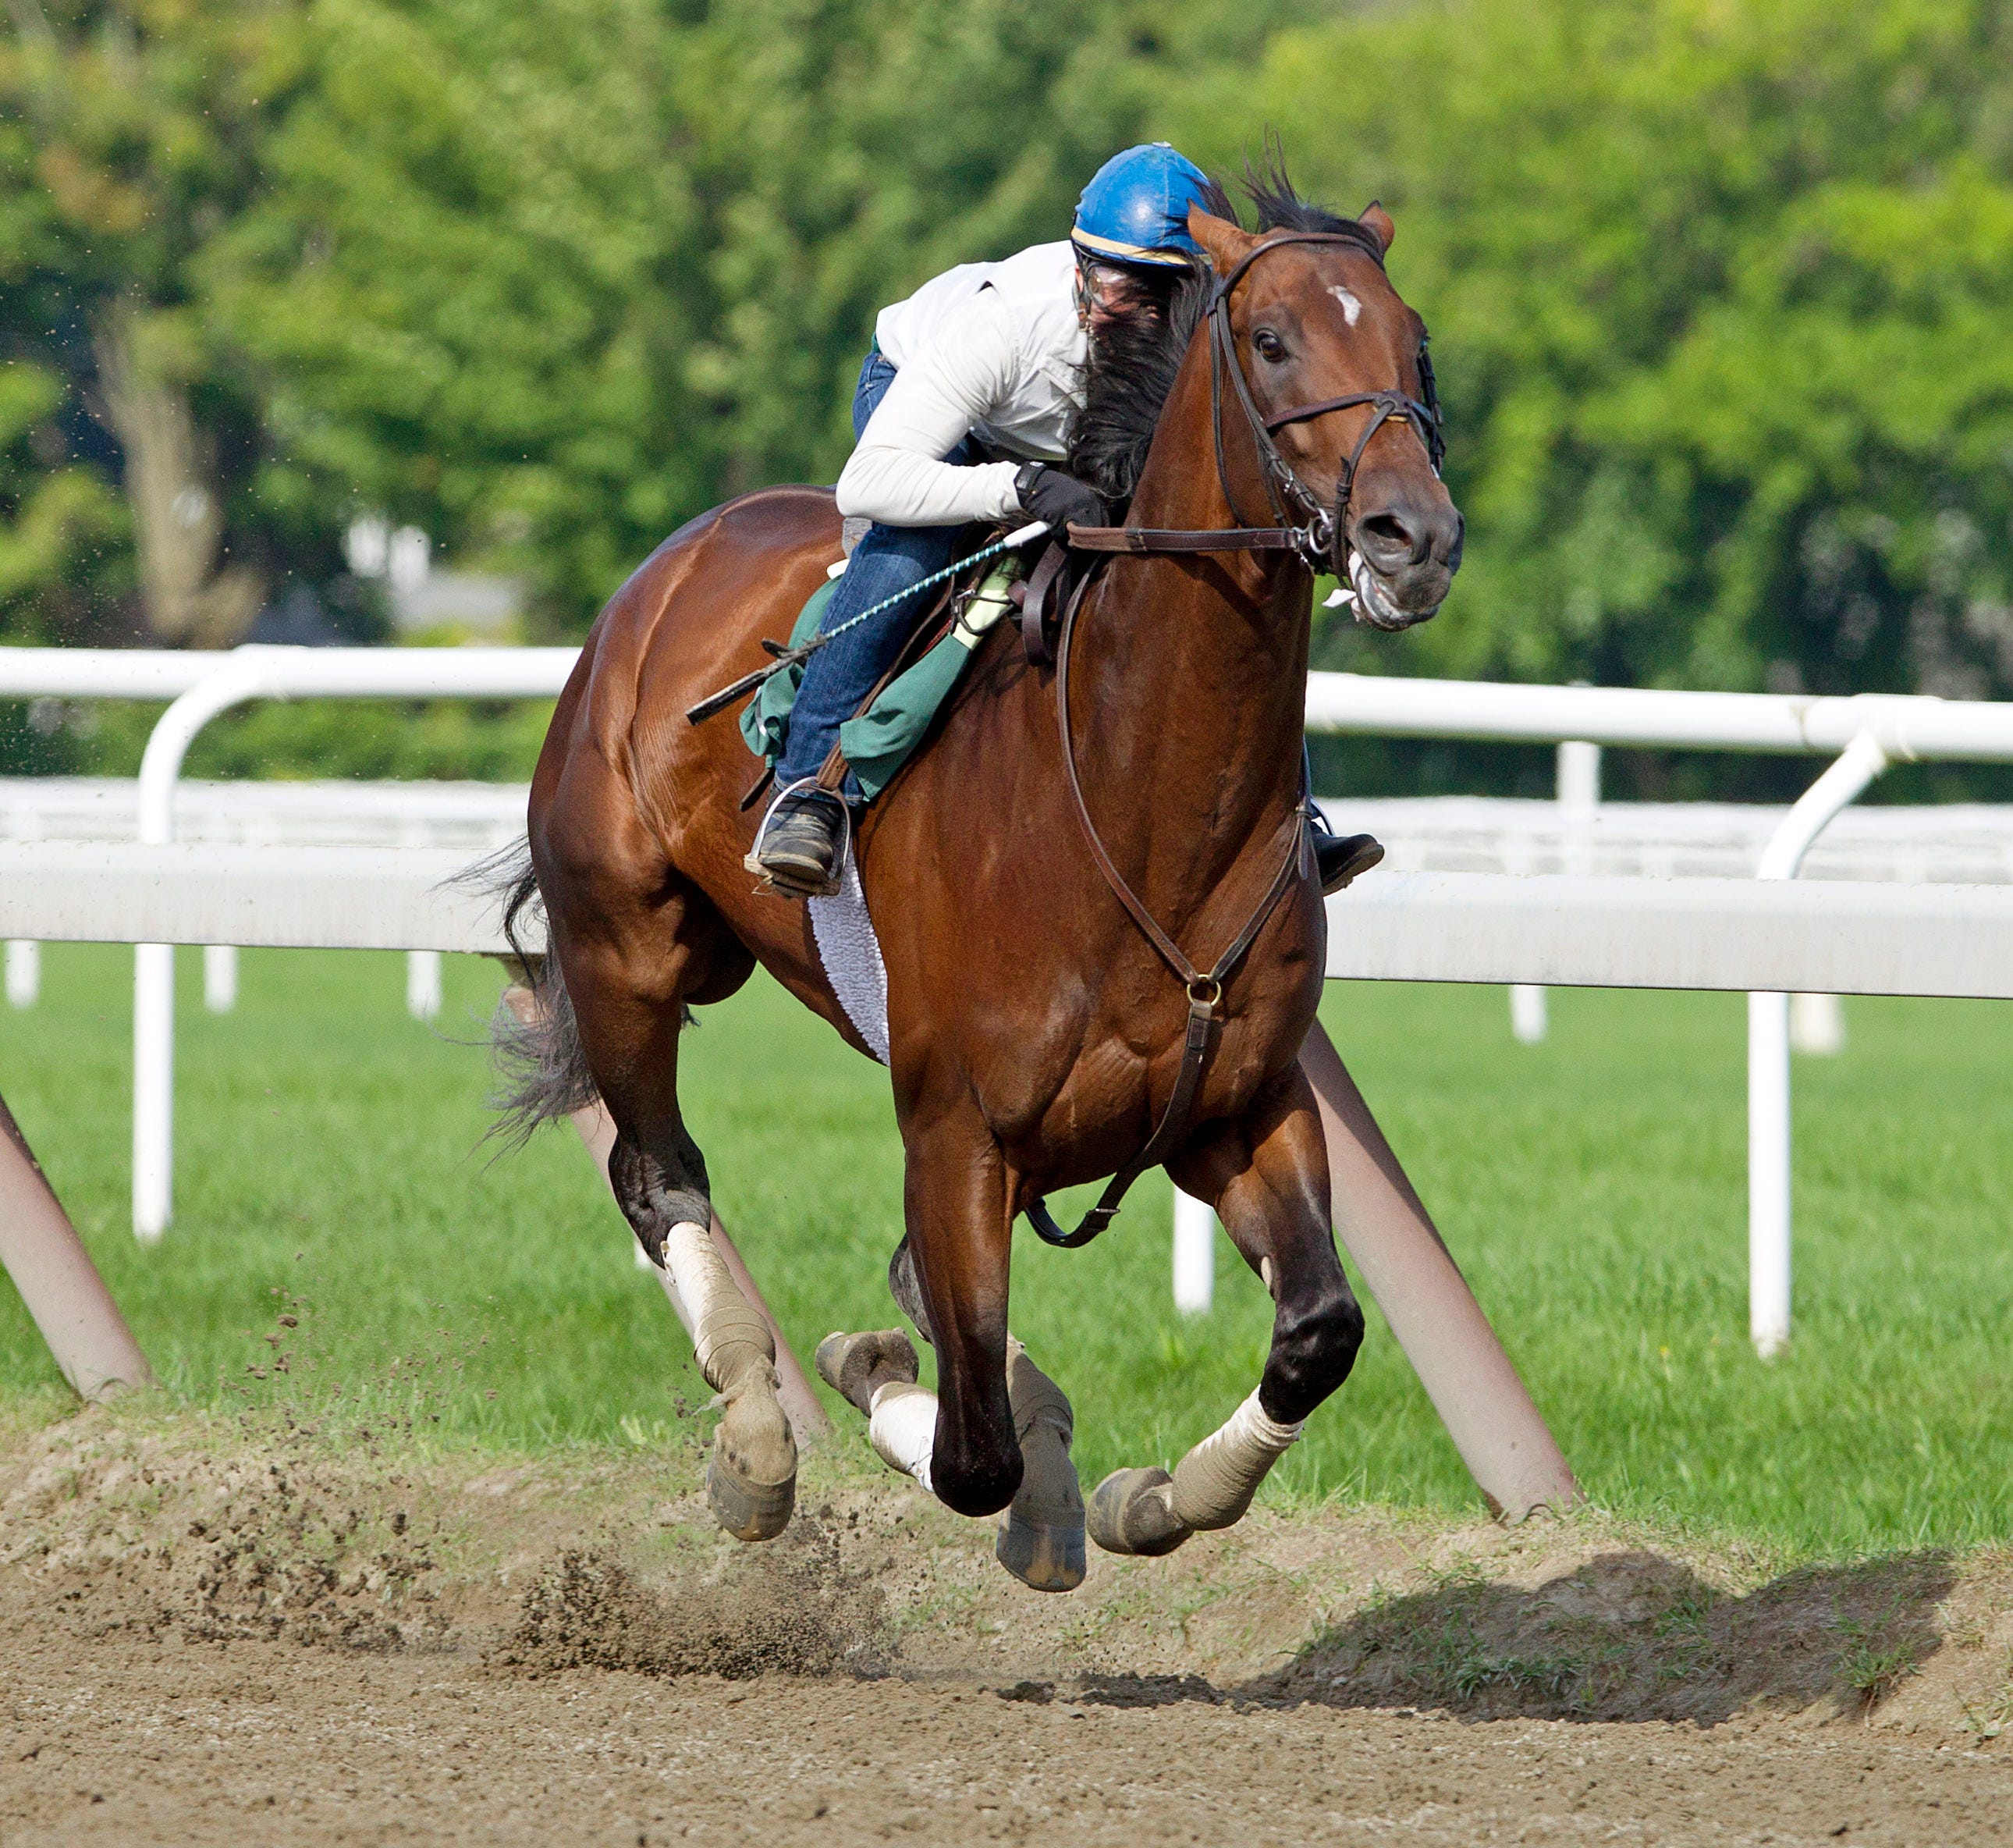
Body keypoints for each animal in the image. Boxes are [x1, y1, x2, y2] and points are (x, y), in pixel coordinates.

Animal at [493, 171, 1463, 1590]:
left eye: (1414, 344)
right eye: (1274, 341)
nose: (1414, 536)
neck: (1138, 808)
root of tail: (668, 565)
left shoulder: (1242, 1106)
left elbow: (1317, 1331)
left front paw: (1147, 1497)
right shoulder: (955, 1130)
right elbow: (970, 1454)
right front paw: (880, 1387)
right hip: (628, 947)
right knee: (657, 1174)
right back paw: (754, 1440)